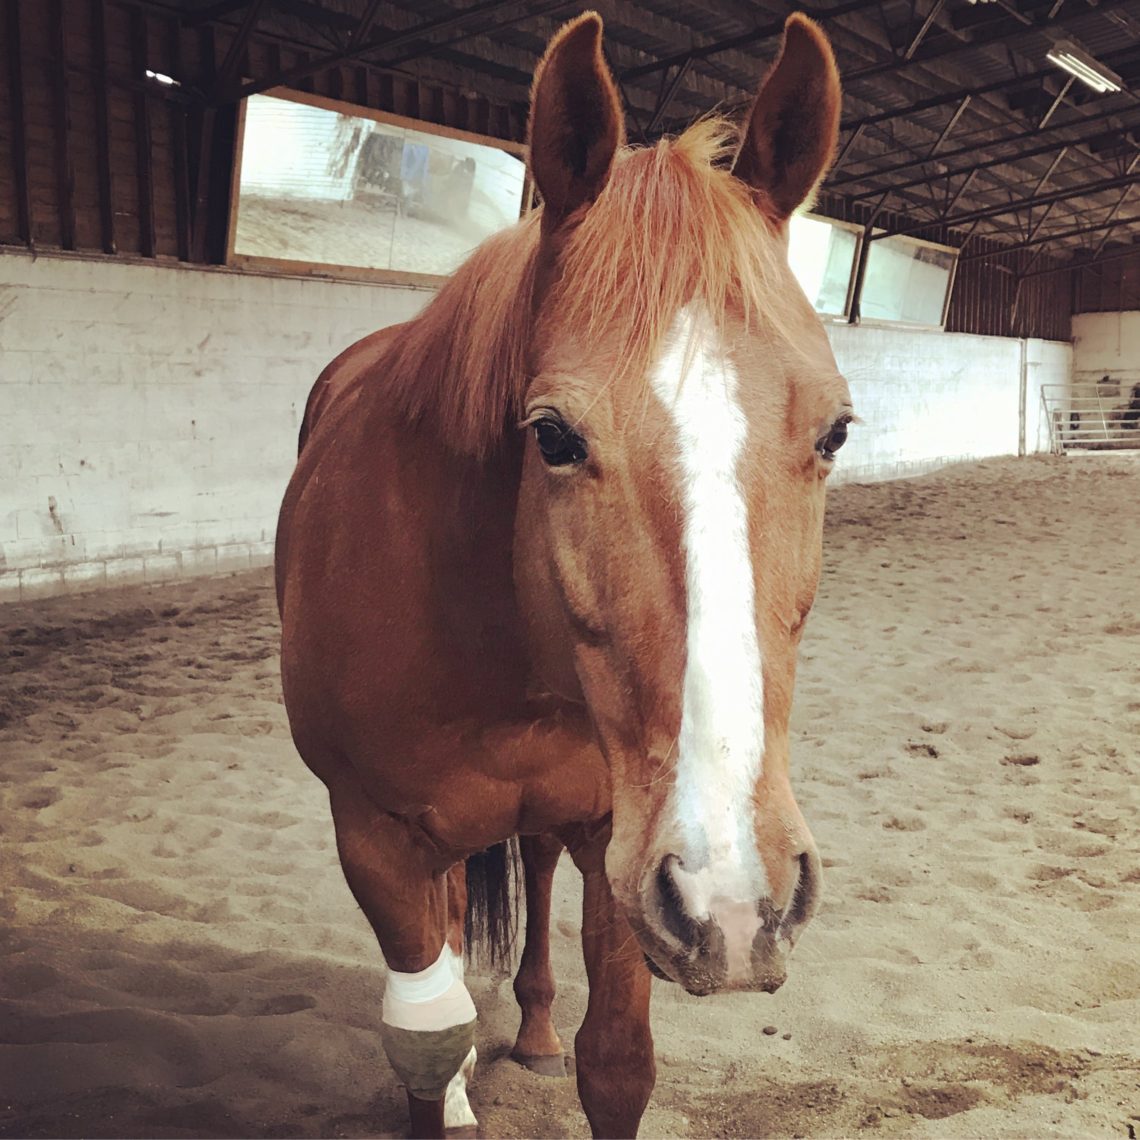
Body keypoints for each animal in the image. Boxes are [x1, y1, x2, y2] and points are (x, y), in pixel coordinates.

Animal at [276, 11, 849, 1138]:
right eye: (552, 435)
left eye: (835, 432)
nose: (738, 895)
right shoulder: (373, 839)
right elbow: (426, 1040)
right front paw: (447, 1089)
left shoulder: (619, 841)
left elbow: (617, 1060)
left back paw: (534, 1027)